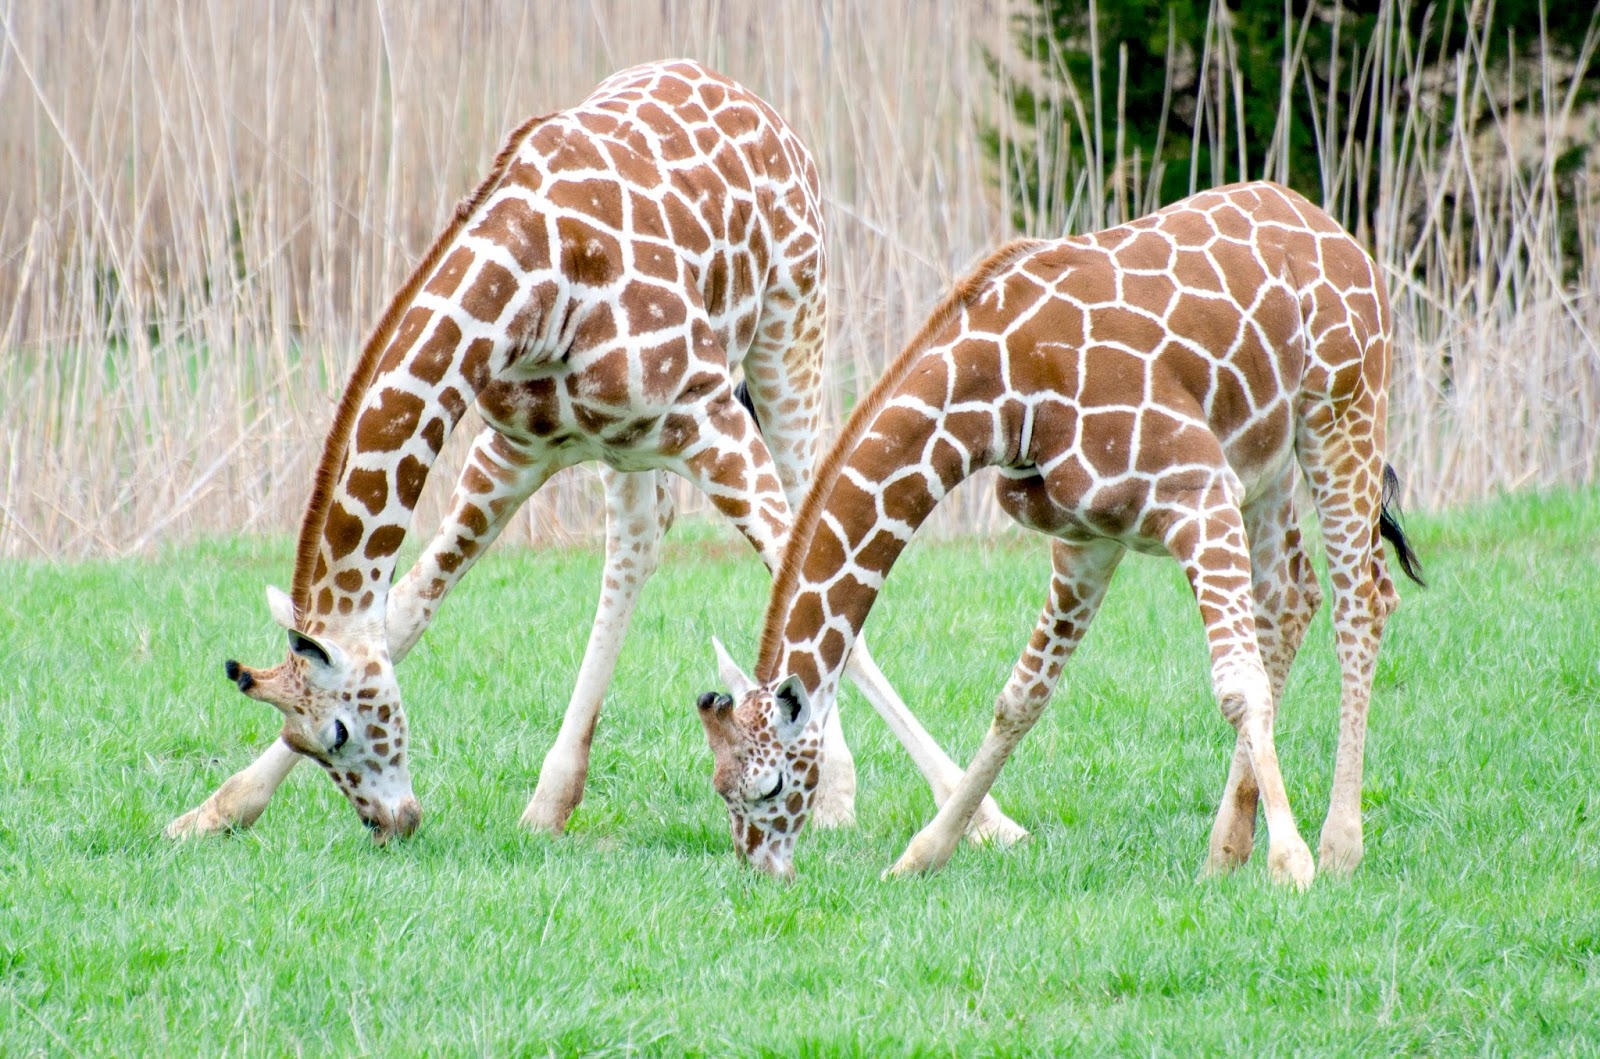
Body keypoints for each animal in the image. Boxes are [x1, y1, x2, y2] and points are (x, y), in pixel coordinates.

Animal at [163, 59, 1024, 846]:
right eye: (302, 738)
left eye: (338, 732)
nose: (391, 822)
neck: (530, 288)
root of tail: (763, 108)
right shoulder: (512, 449)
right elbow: (406, 608)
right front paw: (219, 807)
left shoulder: (709, 410)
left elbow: (801, 560)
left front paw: (982, 818)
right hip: (629, 445)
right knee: (638, 546)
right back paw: (555, 795)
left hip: (788, 339)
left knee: (809, 514)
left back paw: (839, 793)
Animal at [701, 181, 1423, 886]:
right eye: (719, 788)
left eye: (770, 785)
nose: (761, 871)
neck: (1005, 394)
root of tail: (1342, 238)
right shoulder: (1087, 540)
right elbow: (1020, 698)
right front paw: (925, 853)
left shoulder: (1195, 489)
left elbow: (1235, 685)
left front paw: (1291, 862)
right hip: (1265, 461)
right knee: (1293, 596)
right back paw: (1225, 850)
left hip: (1342, 412)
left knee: (1362, 601)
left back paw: (1337, 847)